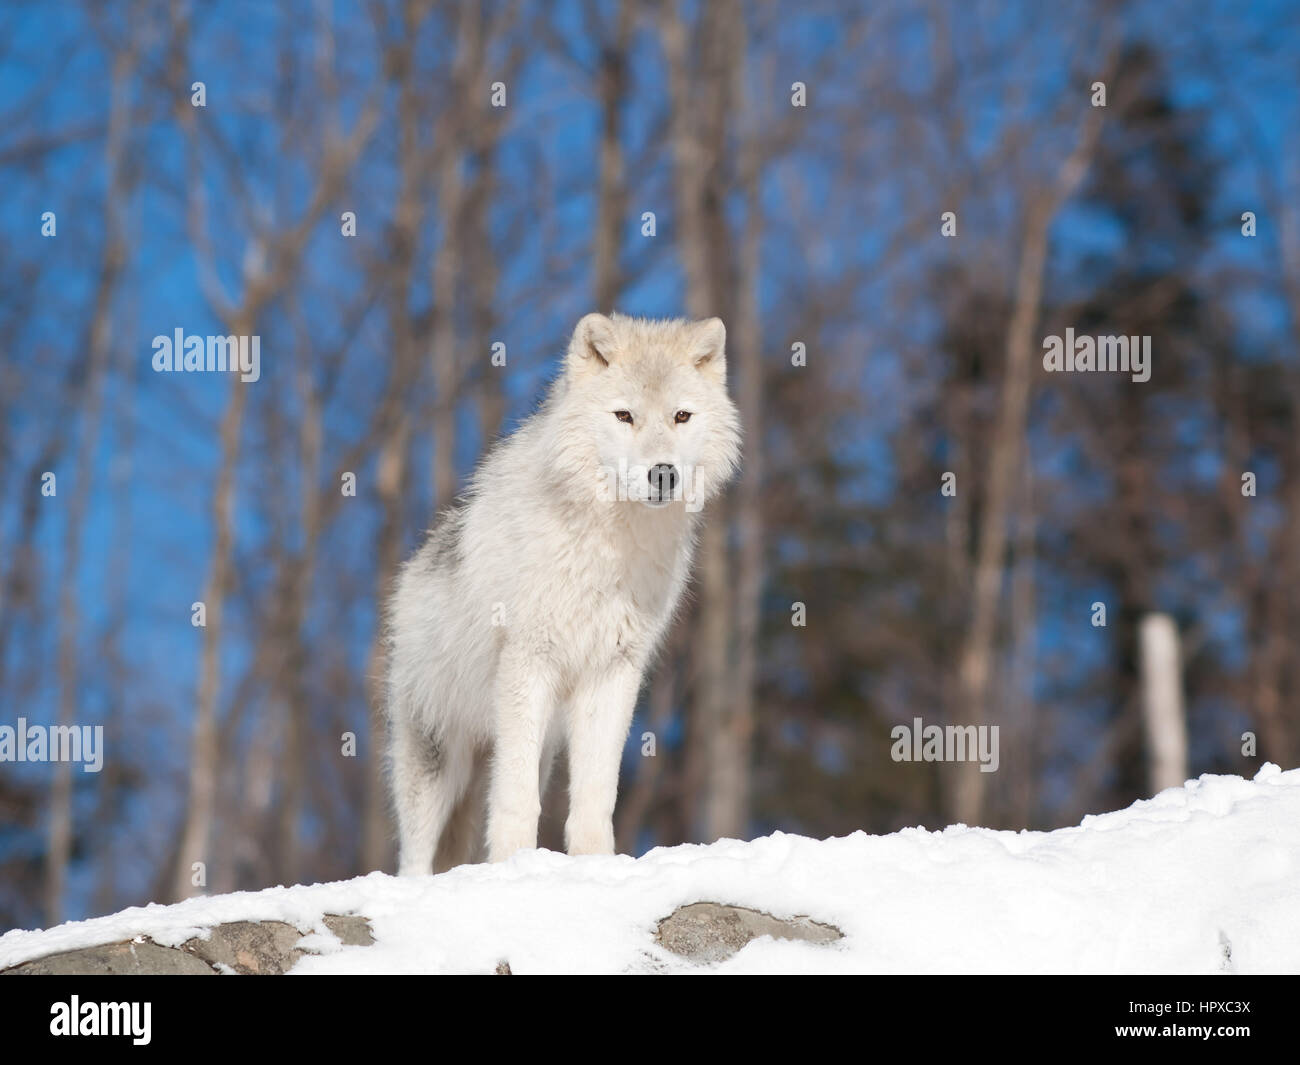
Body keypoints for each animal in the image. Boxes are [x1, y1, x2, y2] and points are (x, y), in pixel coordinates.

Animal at [385, 312, 741, 873]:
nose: (662, 474)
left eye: (682, 416)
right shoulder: (528, 661)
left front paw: (593, 865)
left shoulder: (613, 672)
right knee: (415, 855)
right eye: (624, 416)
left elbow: (596, 793)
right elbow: (517, 800)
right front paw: (514, 865)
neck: (607, 544)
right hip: (437, 754)